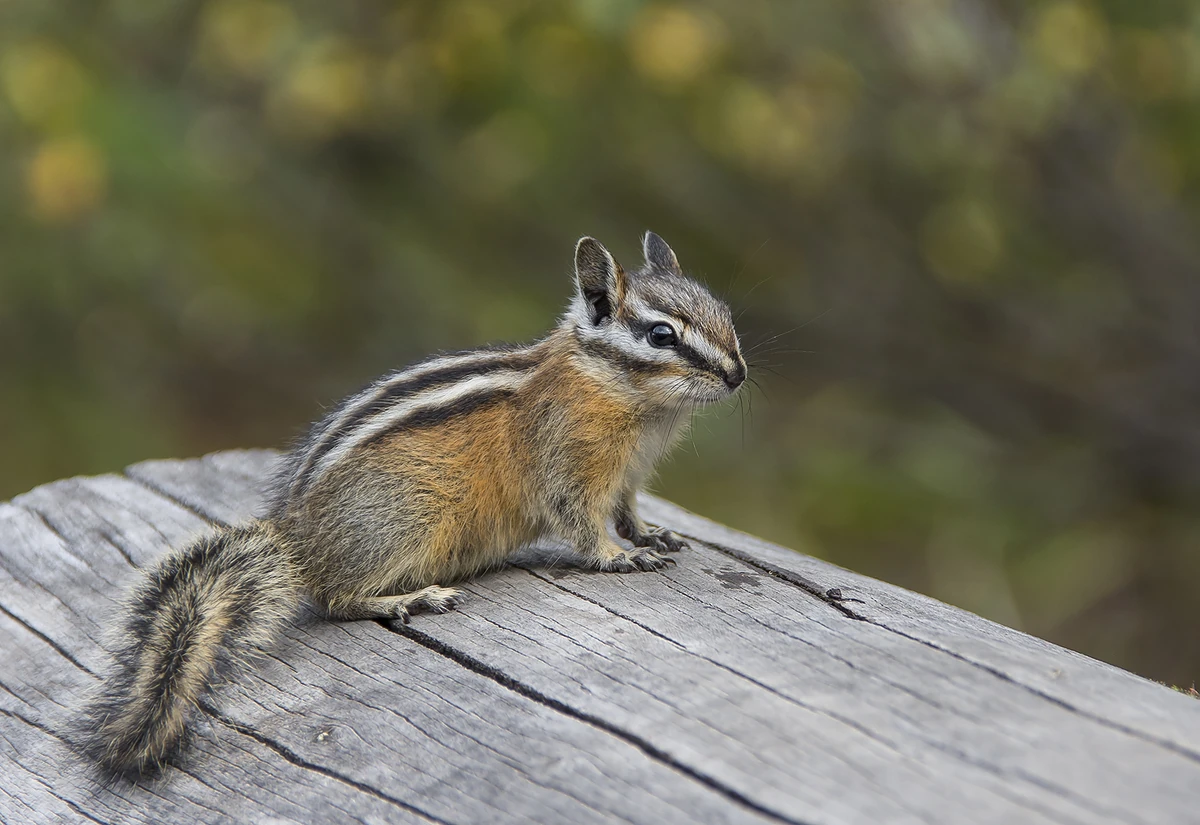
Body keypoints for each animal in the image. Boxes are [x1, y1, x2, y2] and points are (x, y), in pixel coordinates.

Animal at [80, 231, 747, 777]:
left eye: (724, 315)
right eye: (661, 335)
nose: (738, 374)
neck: (631, 397)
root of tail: (292, 538)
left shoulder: (630, 475)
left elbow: (629, 509)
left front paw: (651, 535)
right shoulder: (567, 464)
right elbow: (582, 522)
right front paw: (617, 557)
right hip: (407, 523)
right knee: (334, 598)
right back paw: (406, 598)